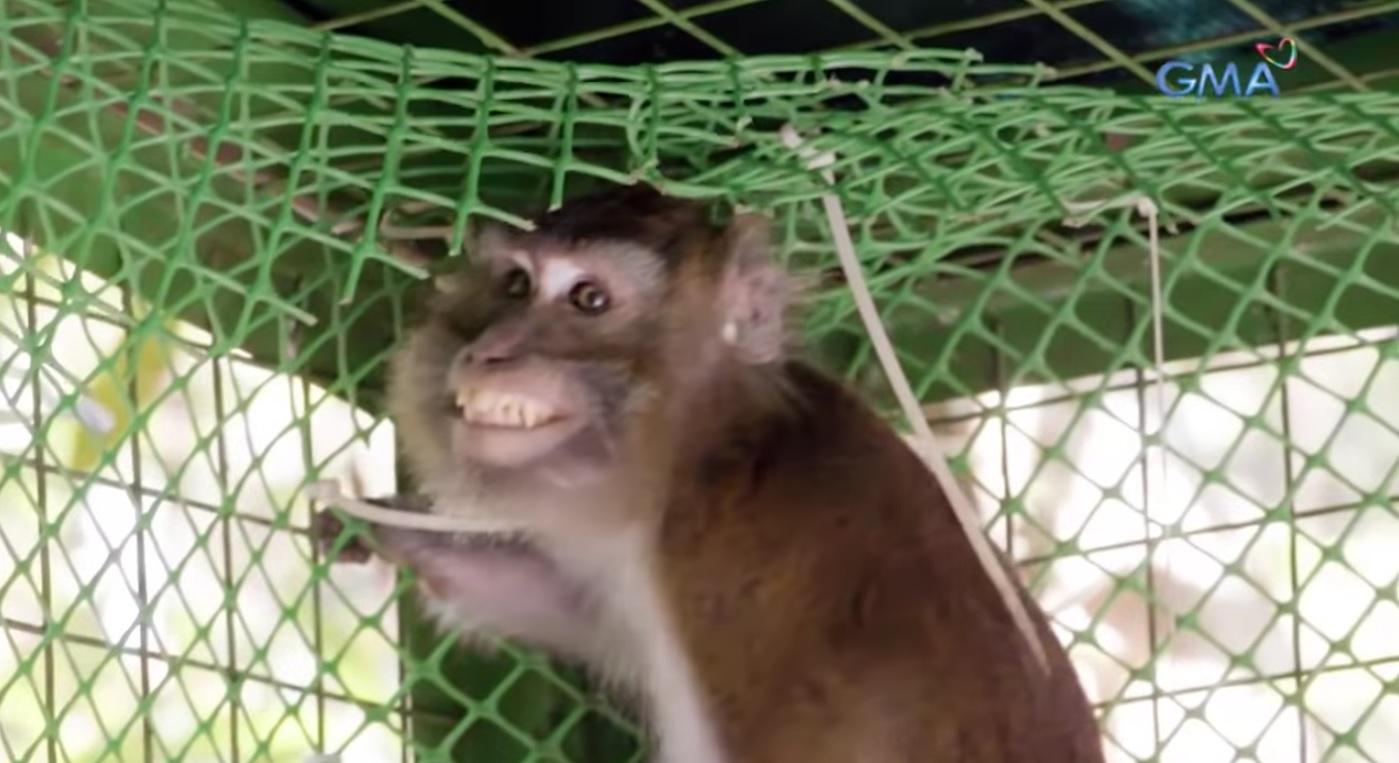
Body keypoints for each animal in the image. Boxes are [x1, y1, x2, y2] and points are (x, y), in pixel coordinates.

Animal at [315, 184, 1105, 763]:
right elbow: (582, 608)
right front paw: (383, 526)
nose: (490, 351)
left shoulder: (721, 568)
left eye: (588, 299)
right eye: (515, 283)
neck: (710, 453)